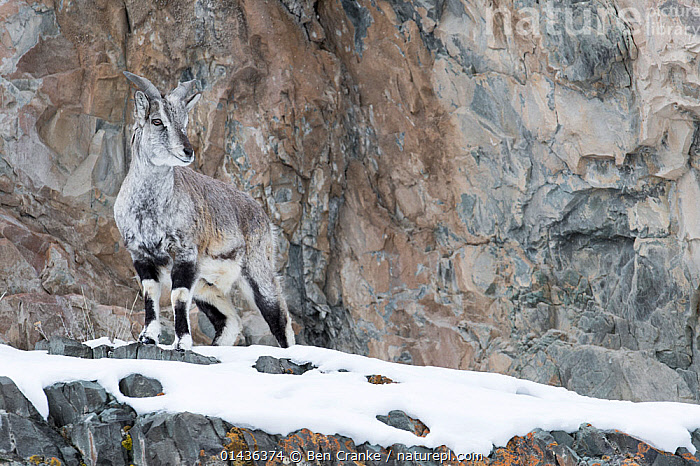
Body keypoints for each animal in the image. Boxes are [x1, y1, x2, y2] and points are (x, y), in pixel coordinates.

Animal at [114, 71, 295, 350]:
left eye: (184, 122)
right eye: (157, 121)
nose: (187, 151)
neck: (150, 210)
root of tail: (262, 215)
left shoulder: (185, 253)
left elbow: (178, 296)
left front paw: (182, 343)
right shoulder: (140, 255)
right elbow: (150, 293)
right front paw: (147, 337)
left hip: (257, 270)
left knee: (279, 318)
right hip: (208, 286)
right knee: (229, 321)